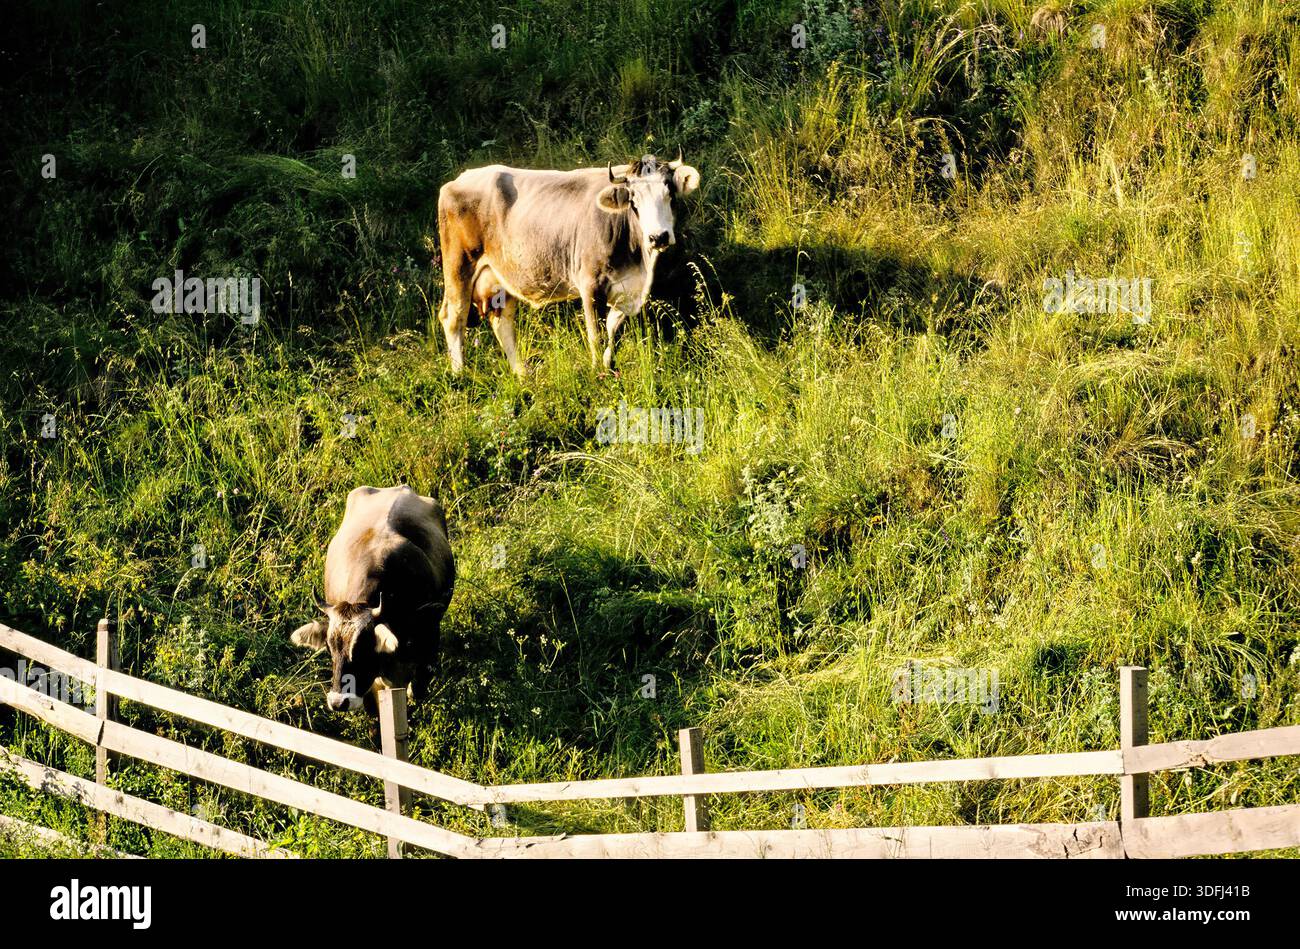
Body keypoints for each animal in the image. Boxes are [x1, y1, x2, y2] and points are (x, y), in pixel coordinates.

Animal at [436, 152, 701, 377]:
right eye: (634, 200)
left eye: (669, 193)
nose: (658, 237)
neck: (638, 259)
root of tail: (460, 179)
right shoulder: (590, 285)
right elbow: (597, 336)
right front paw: (598, 373)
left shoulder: (627, 290)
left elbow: (612, 333)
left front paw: (609, 367)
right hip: (459, 267)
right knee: (453, 317)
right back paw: (459, 375)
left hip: (499, 276)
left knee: (502, 322)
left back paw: (522, 375)